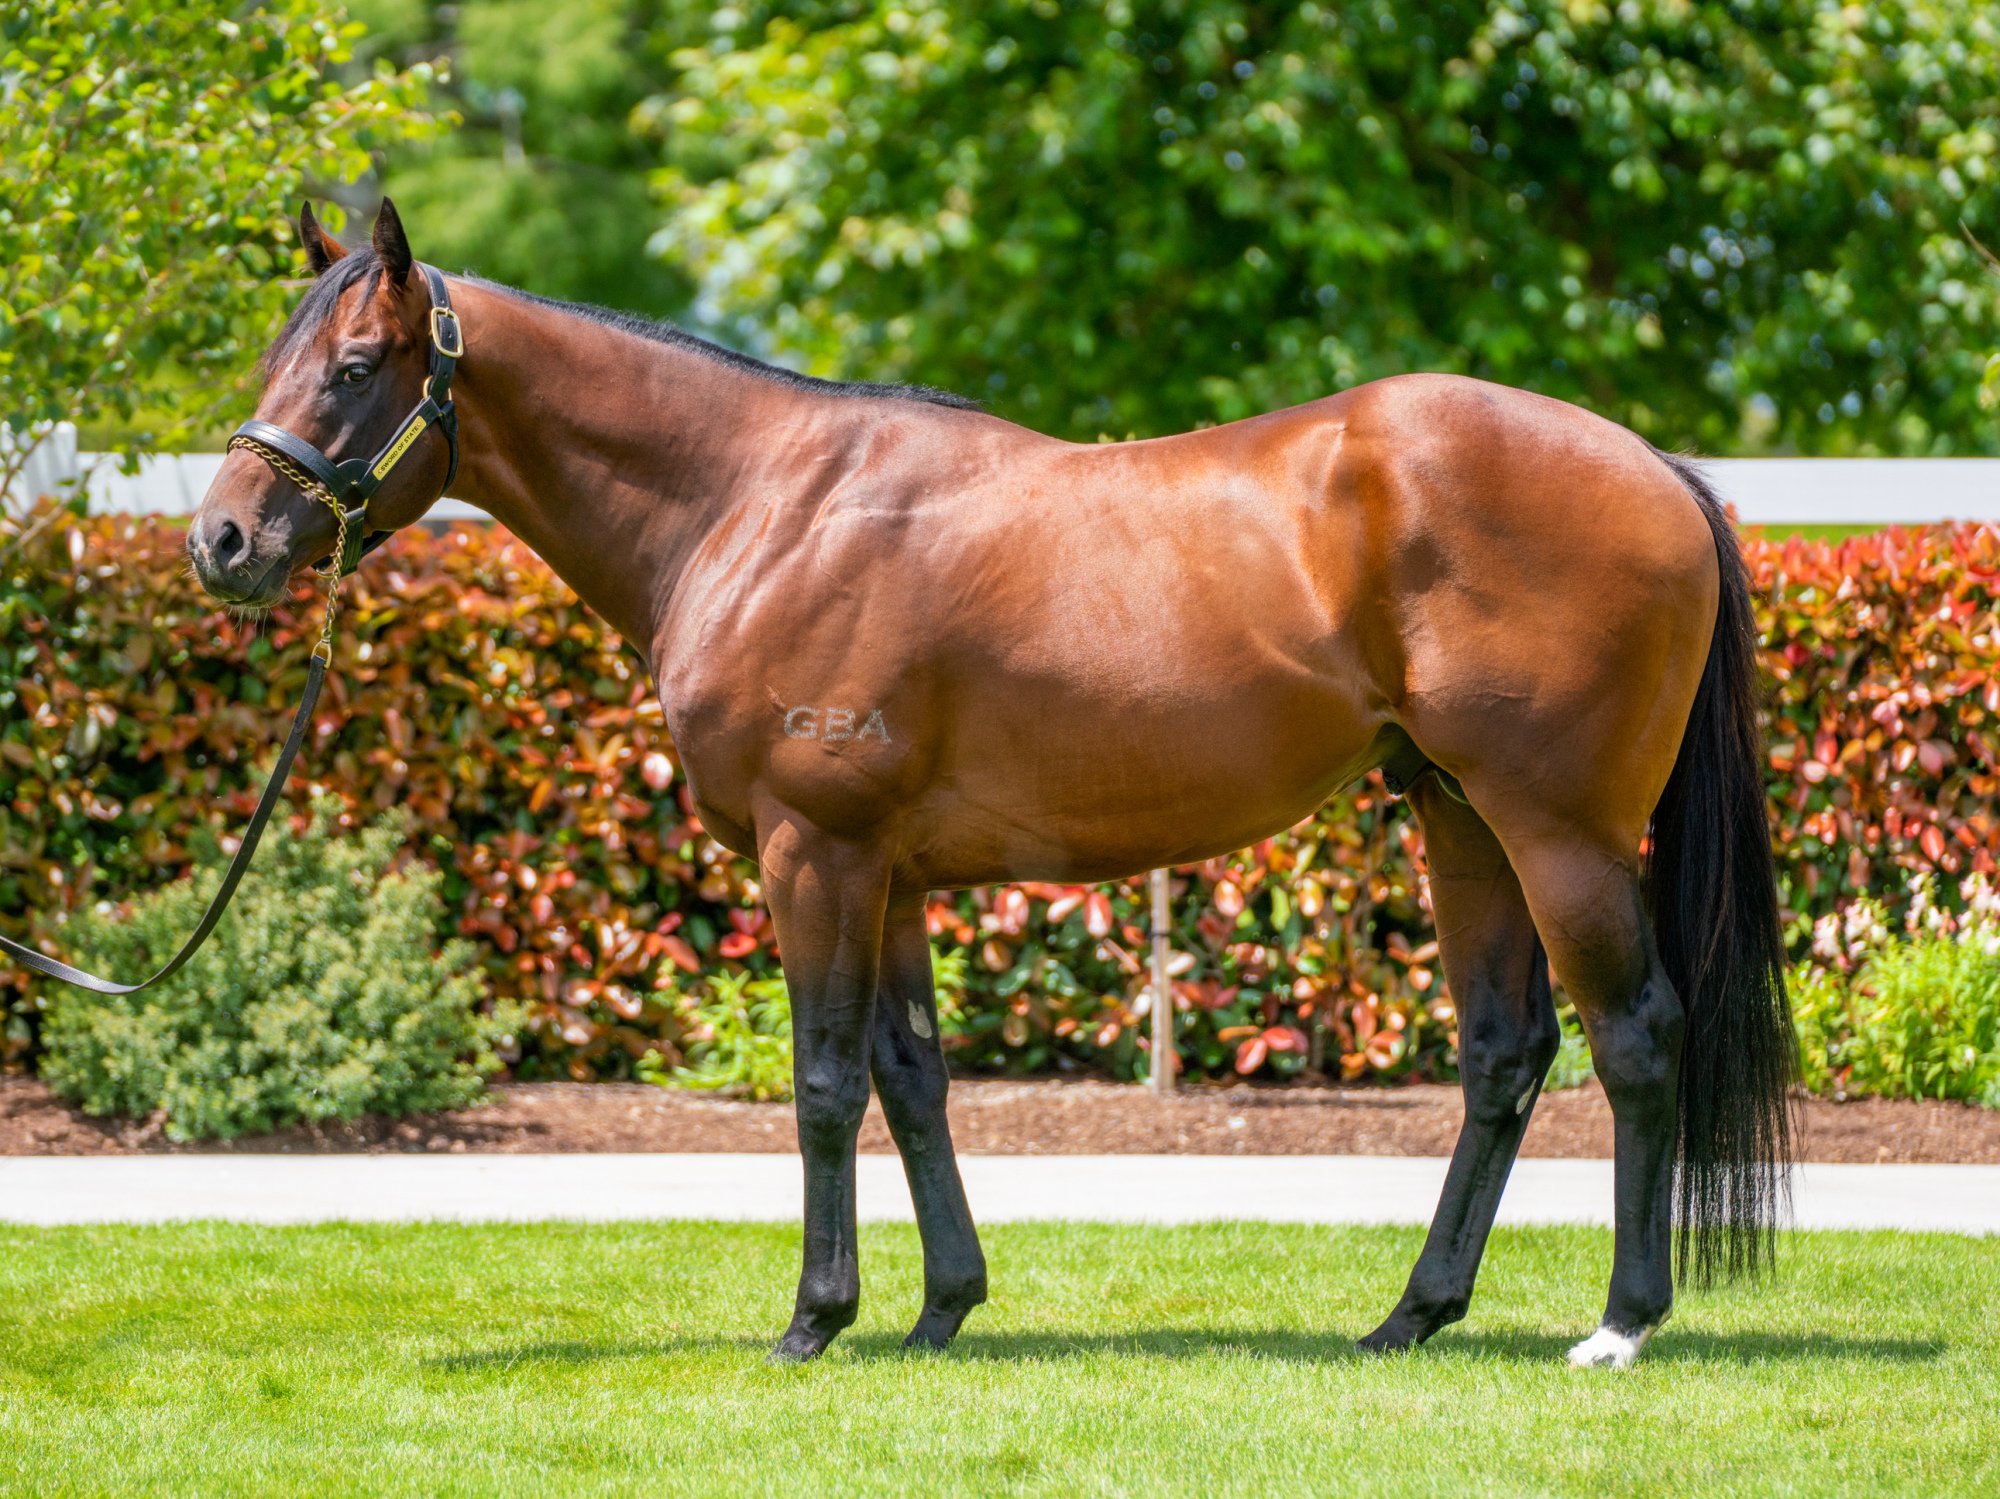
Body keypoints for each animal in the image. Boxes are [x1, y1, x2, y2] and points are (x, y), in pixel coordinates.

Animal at [189, 200, 1794, 1369]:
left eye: (352, 370)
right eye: (275, 364)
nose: (222, 542)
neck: (756, 503)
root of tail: (1657, 468)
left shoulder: (814, 850)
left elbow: (824, 1082)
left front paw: (813, 1319)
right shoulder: (886, 866)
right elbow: (912, 1076)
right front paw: (939, 1306)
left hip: (1557, 829)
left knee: (1635, 1038)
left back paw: (1620, 1323)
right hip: (1455, 817)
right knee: (1504, 1054)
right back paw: (1412, 1313)